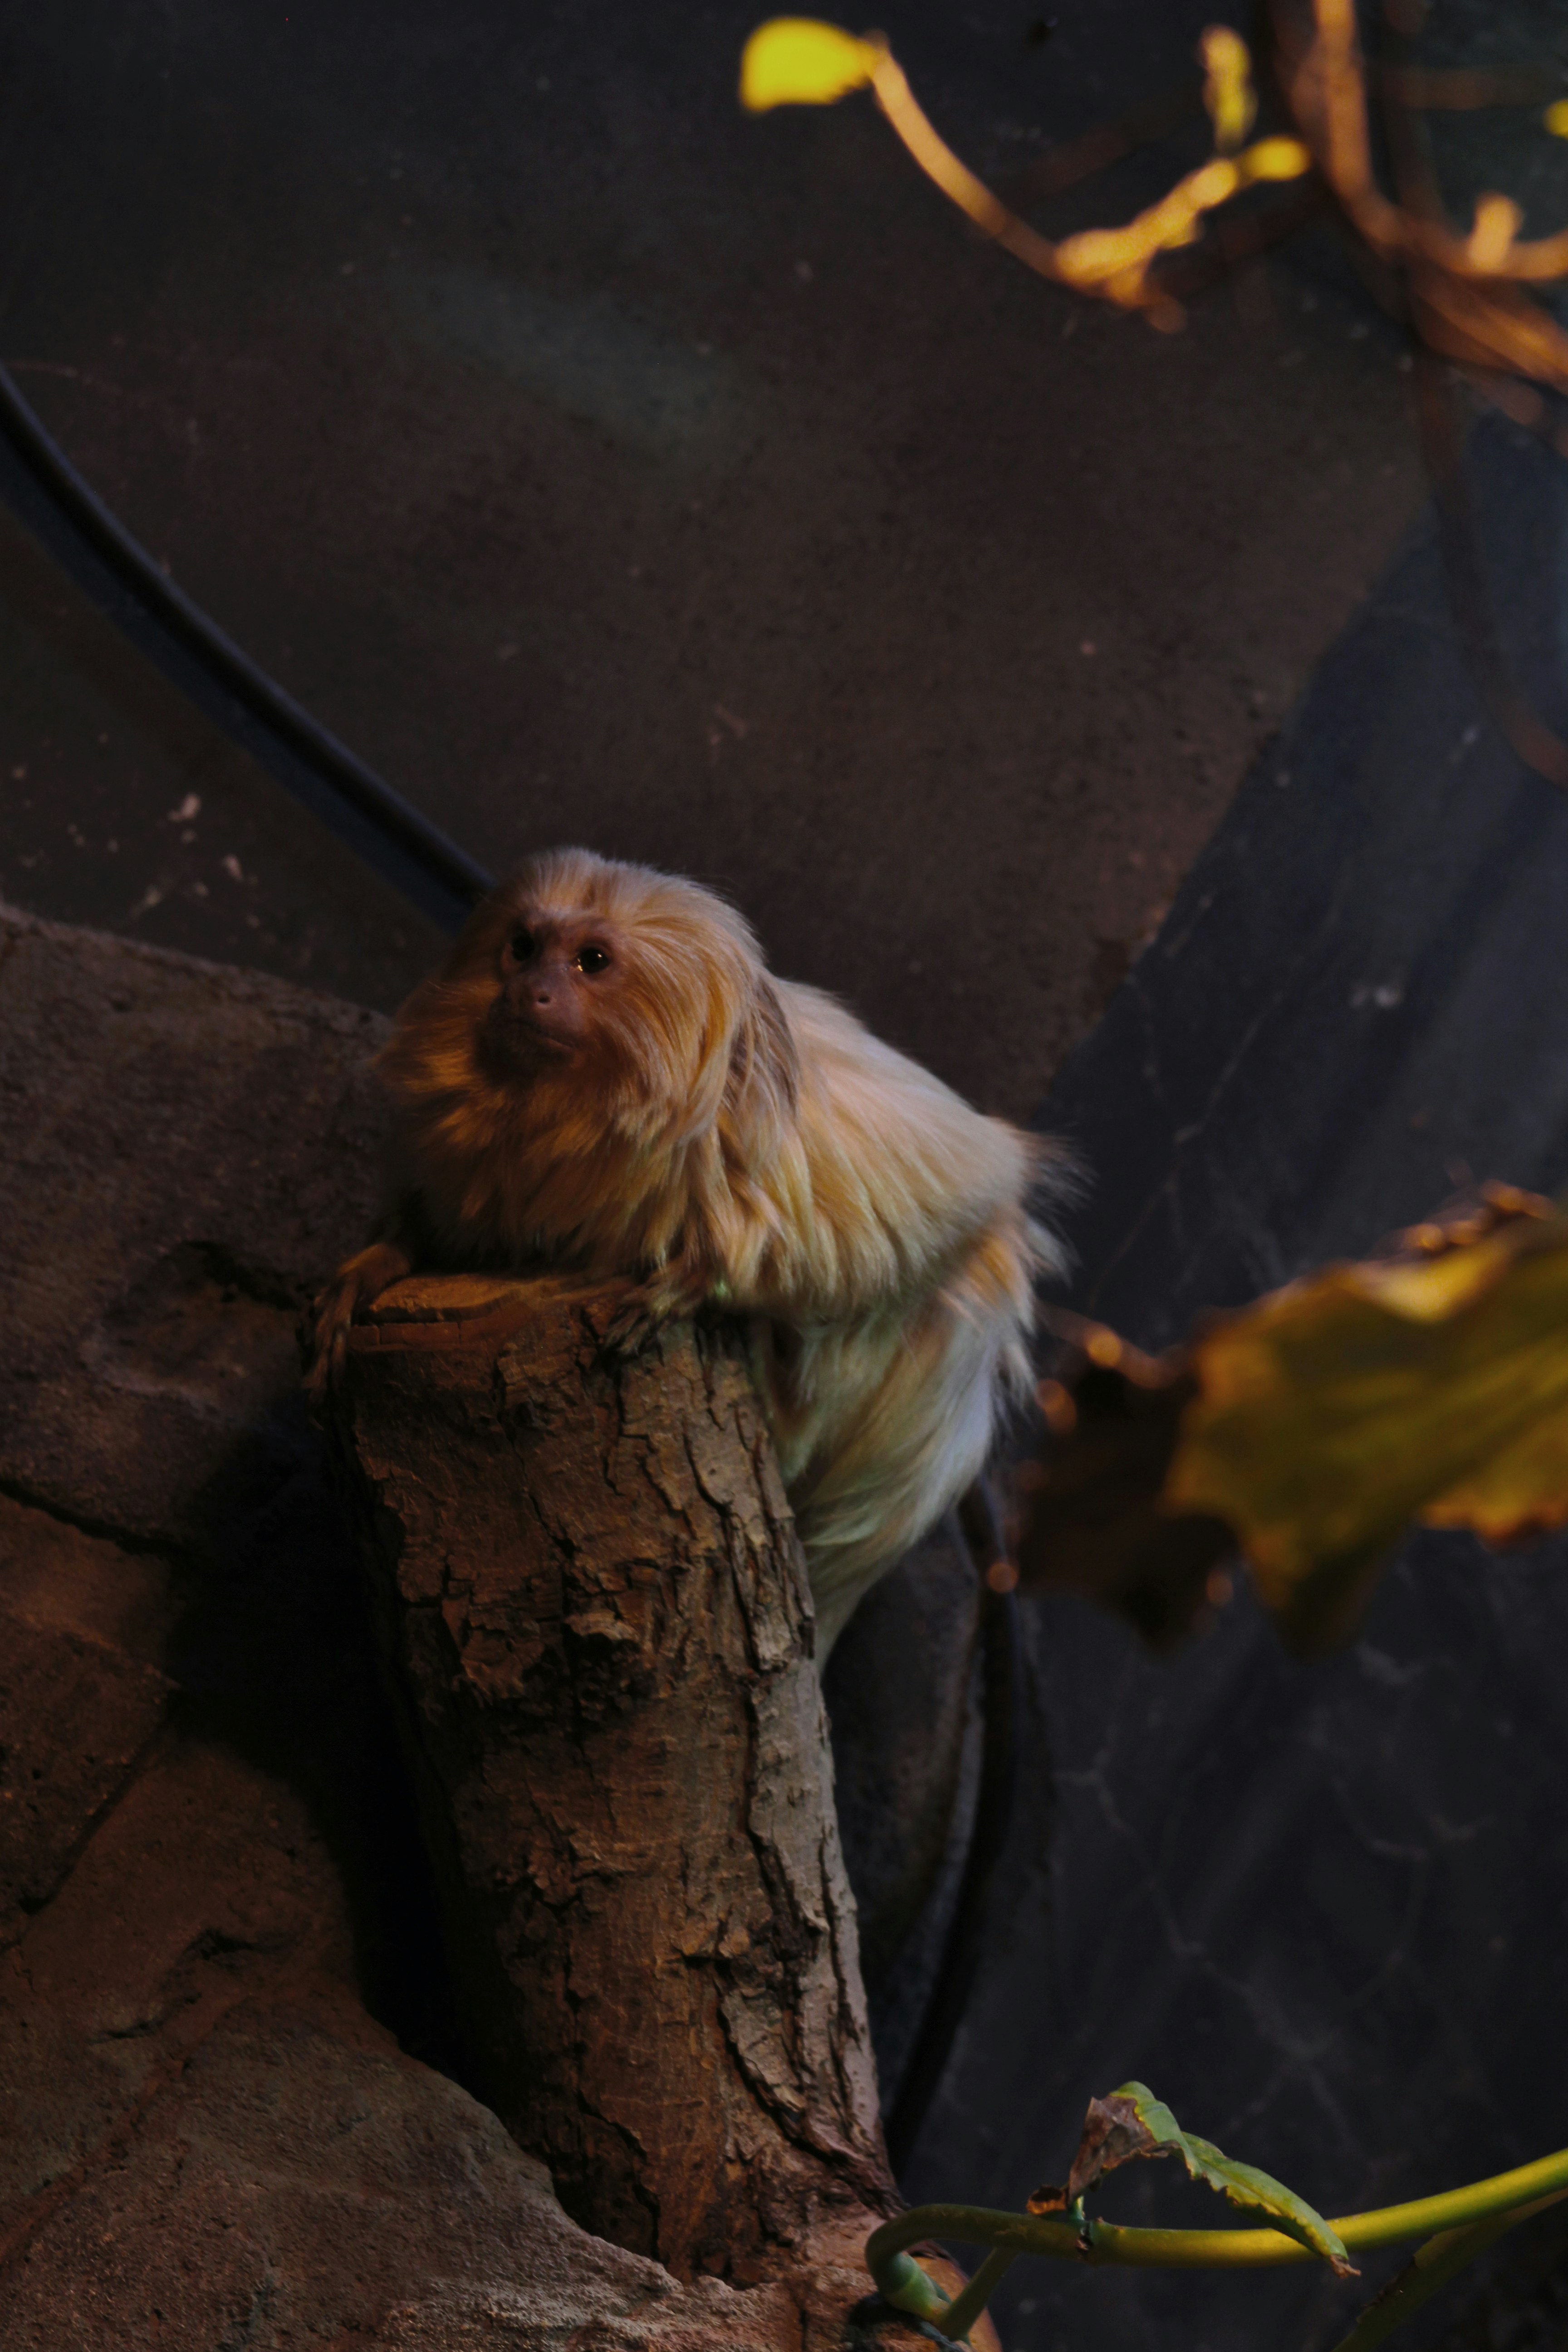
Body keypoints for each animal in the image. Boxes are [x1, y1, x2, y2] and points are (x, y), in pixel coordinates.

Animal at [311, 847, 1068, 1656]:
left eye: (591, 961)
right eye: (522, 946)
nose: (530, 990)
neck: (578, 1112)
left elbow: (941, 1213)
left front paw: (692, 1285)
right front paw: (375, 1268)